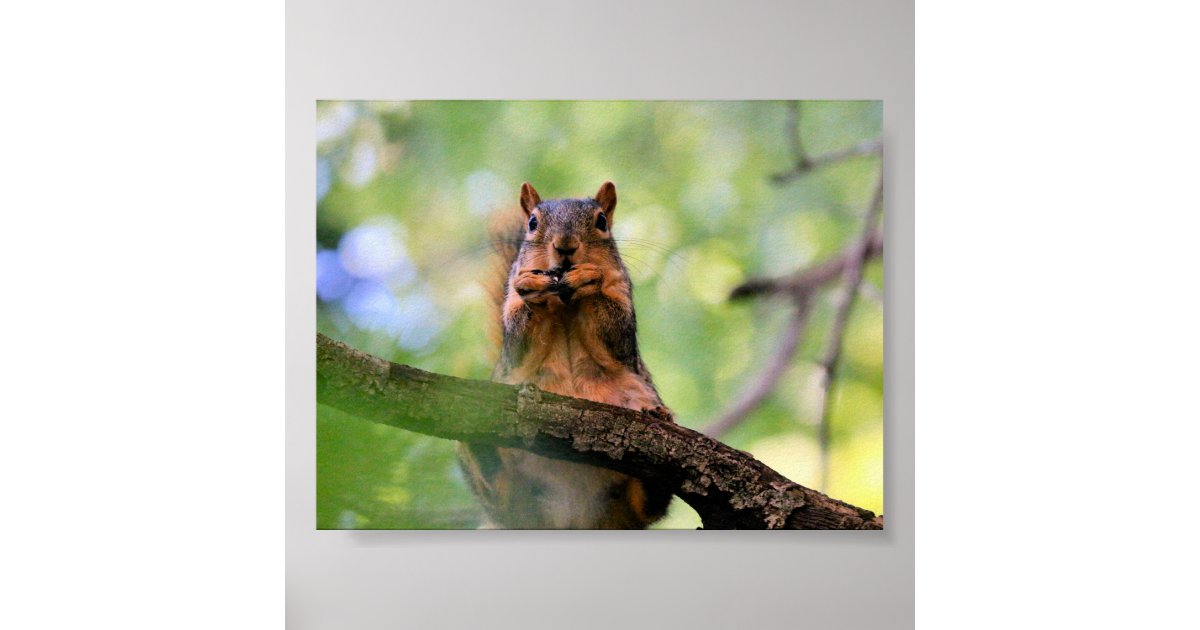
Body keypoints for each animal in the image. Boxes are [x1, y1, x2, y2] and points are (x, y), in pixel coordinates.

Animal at [456, 181, 675, 529]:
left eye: (601, 221)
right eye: (532, 223)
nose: (565, 245)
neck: (566, 303)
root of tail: (576, 516)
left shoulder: (621, 300)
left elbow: (615, 332)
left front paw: (589, 279)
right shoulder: (513, 320)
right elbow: (519, 338)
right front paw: (533, 287)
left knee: (648, 505)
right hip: (513, 500)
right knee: (502, 496)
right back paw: (481, 448)